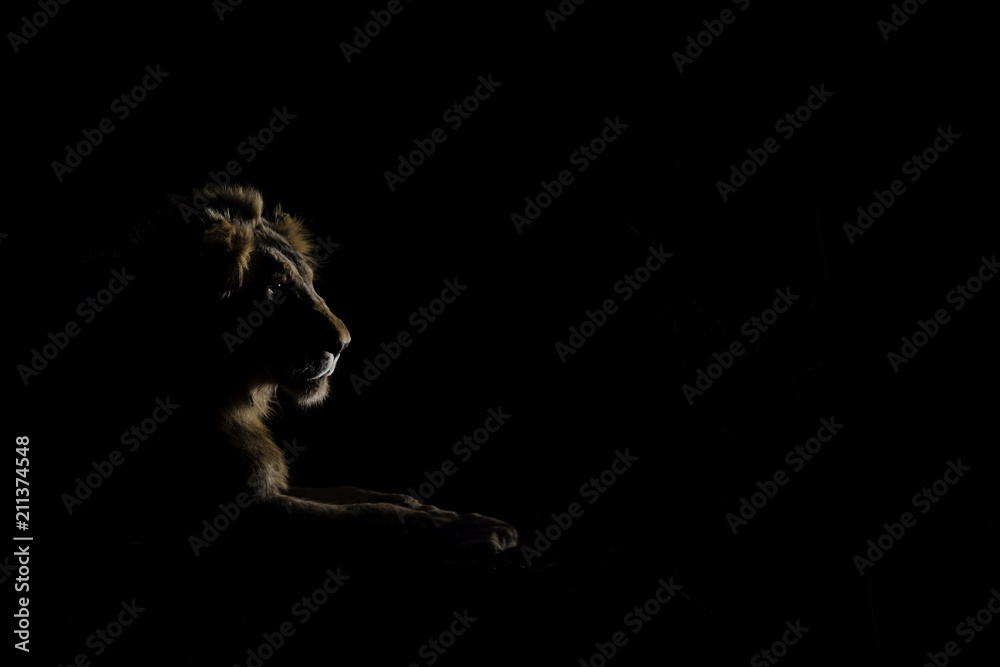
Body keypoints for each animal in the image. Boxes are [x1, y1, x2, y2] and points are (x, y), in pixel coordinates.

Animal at [61, 184, 517, 560]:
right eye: (276, 289)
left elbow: (352, 491)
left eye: (309, 280)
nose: (344, 345)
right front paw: (467, 527)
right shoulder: (226, 516)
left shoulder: (265, 484)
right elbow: (368, 514)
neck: (231, 390)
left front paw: (424, 504)